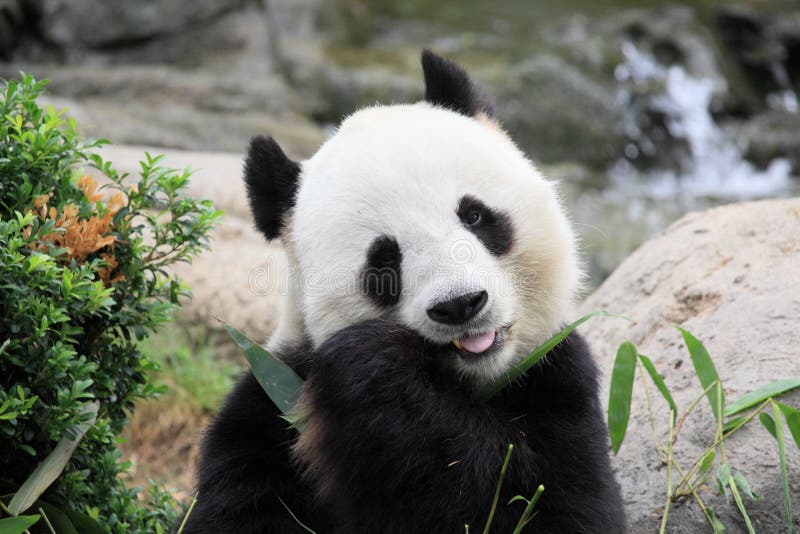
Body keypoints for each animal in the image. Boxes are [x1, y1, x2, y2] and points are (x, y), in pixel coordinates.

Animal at [181, 50, 625, 533]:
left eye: (475, 215)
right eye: (383, 260)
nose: (460, 304)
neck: (469, 384)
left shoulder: (556, 378)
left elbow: (540, 502)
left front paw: (373, 365)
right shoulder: (272, 405)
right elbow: (243, 507)